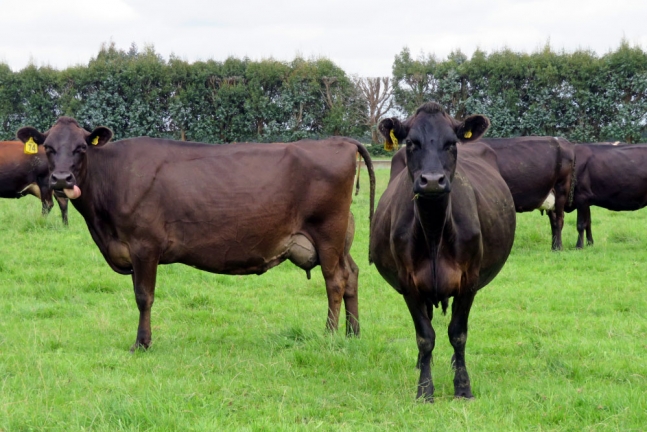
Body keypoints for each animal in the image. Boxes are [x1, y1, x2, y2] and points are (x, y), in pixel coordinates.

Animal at [17, 117, 375, 350]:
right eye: (48, 147)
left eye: (80, 148)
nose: (61, 179)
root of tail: (340, 141)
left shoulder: (144, 245)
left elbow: (143, 296)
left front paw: (142, 343)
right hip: (341, 239)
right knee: (352, 275)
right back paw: (353, 333)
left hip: (327, 232)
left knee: (335, 280)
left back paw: (329, 335)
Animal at [369, 102, 515, 401]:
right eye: (412, 142)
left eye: (451, 143)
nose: (433, 180)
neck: (434, 230)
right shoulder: (408, 283)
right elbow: (425, 337)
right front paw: (425, 389)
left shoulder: (469, 281)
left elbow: (458, 334)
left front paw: (463, 386)